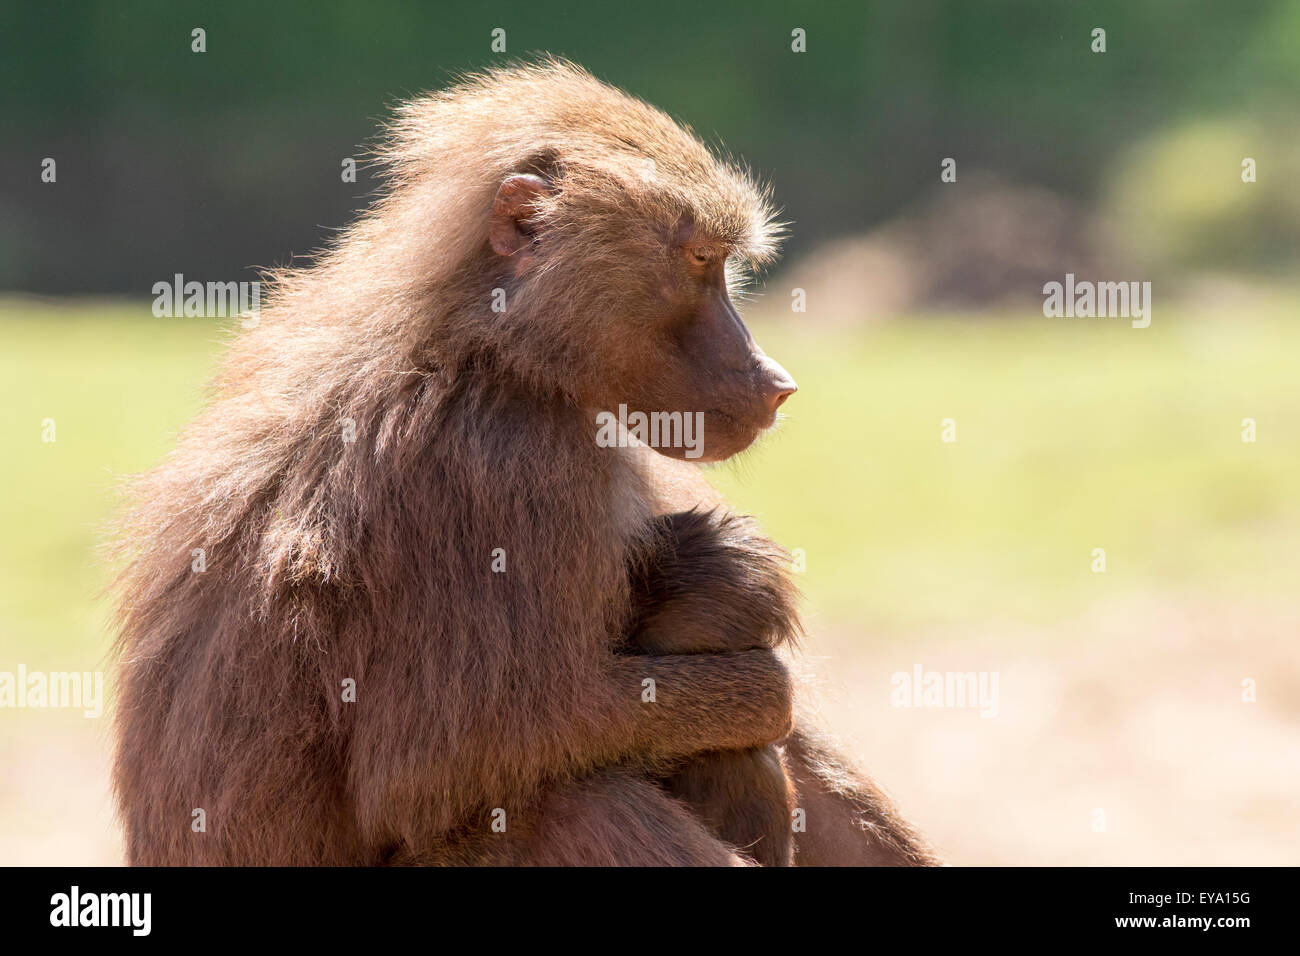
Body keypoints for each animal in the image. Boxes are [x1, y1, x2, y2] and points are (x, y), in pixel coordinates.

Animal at [111, 58, 937, 866]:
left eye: (723, 264)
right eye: (701, 260)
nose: (774, 382)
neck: (490, 345)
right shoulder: (501, 461)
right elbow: (435, 763)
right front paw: (759, 687)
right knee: (581, 802)